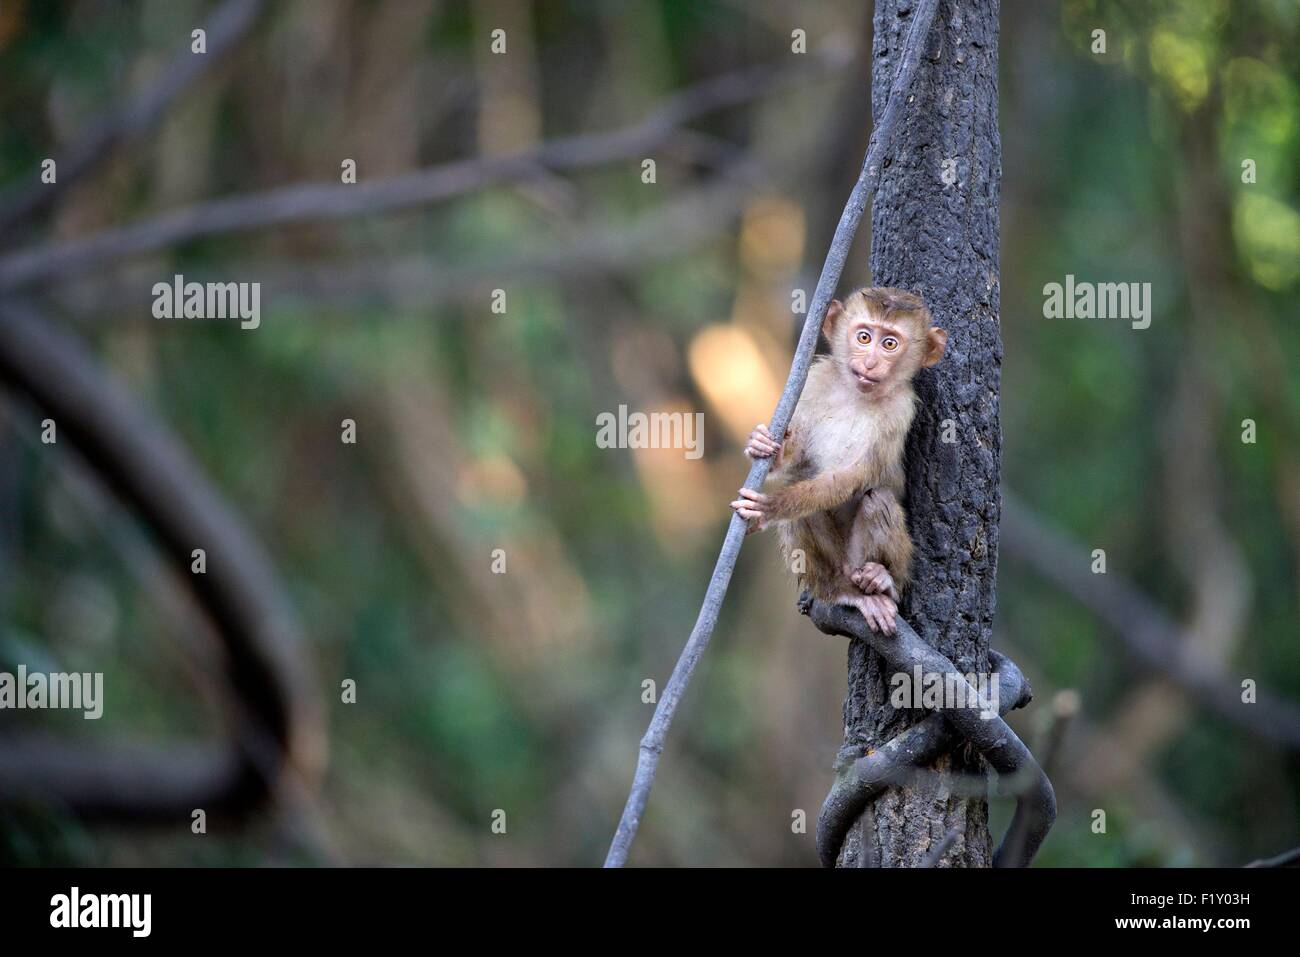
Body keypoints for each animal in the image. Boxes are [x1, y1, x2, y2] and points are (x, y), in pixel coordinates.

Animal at [729, 287, 946, 635]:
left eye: (890, 344)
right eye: (863, 337)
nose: (869, 362)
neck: (855, 395)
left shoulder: (899, 410)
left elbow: (851, 477)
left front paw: (770, 506)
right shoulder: (816, 380)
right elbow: (799, 460)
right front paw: (761, 444)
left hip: (863, 560)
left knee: (876, 500)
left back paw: (882, 581)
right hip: (836, 567)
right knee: (805, 516)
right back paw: (840, 591)